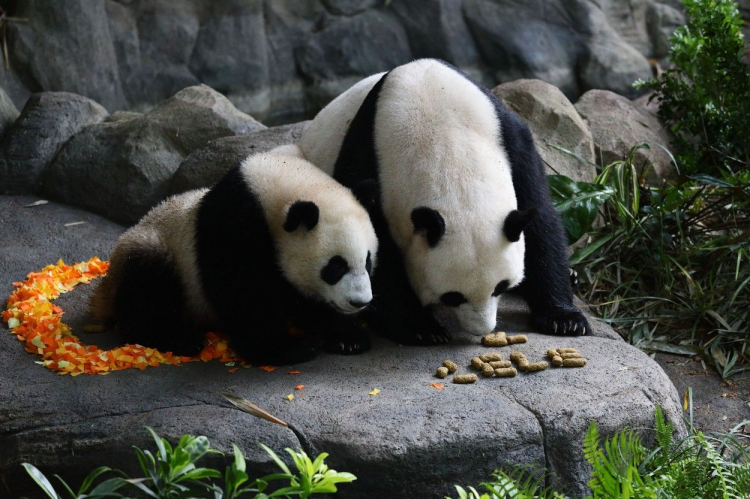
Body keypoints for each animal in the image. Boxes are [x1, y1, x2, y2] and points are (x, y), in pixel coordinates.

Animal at [89, 146, 379, 365]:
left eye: (367, 261)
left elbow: (298, 296)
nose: (360, 302)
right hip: (154, 249)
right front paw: (289, 348)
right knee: (148, 289)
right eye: (335, 267)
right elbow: (243, 292)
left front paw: (348, 338)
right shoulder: (235, 225)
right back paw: (181, 338)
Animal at [298, 59, 590, 344]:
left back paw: (573, 277)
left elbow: (540, 220)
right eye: (453, 296)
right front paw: (420, 327)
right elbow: (373, 244)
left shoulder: (511, 140)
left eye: (501, 287)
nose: (481, 329)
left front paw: (564, 320)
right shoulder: (368, 155)